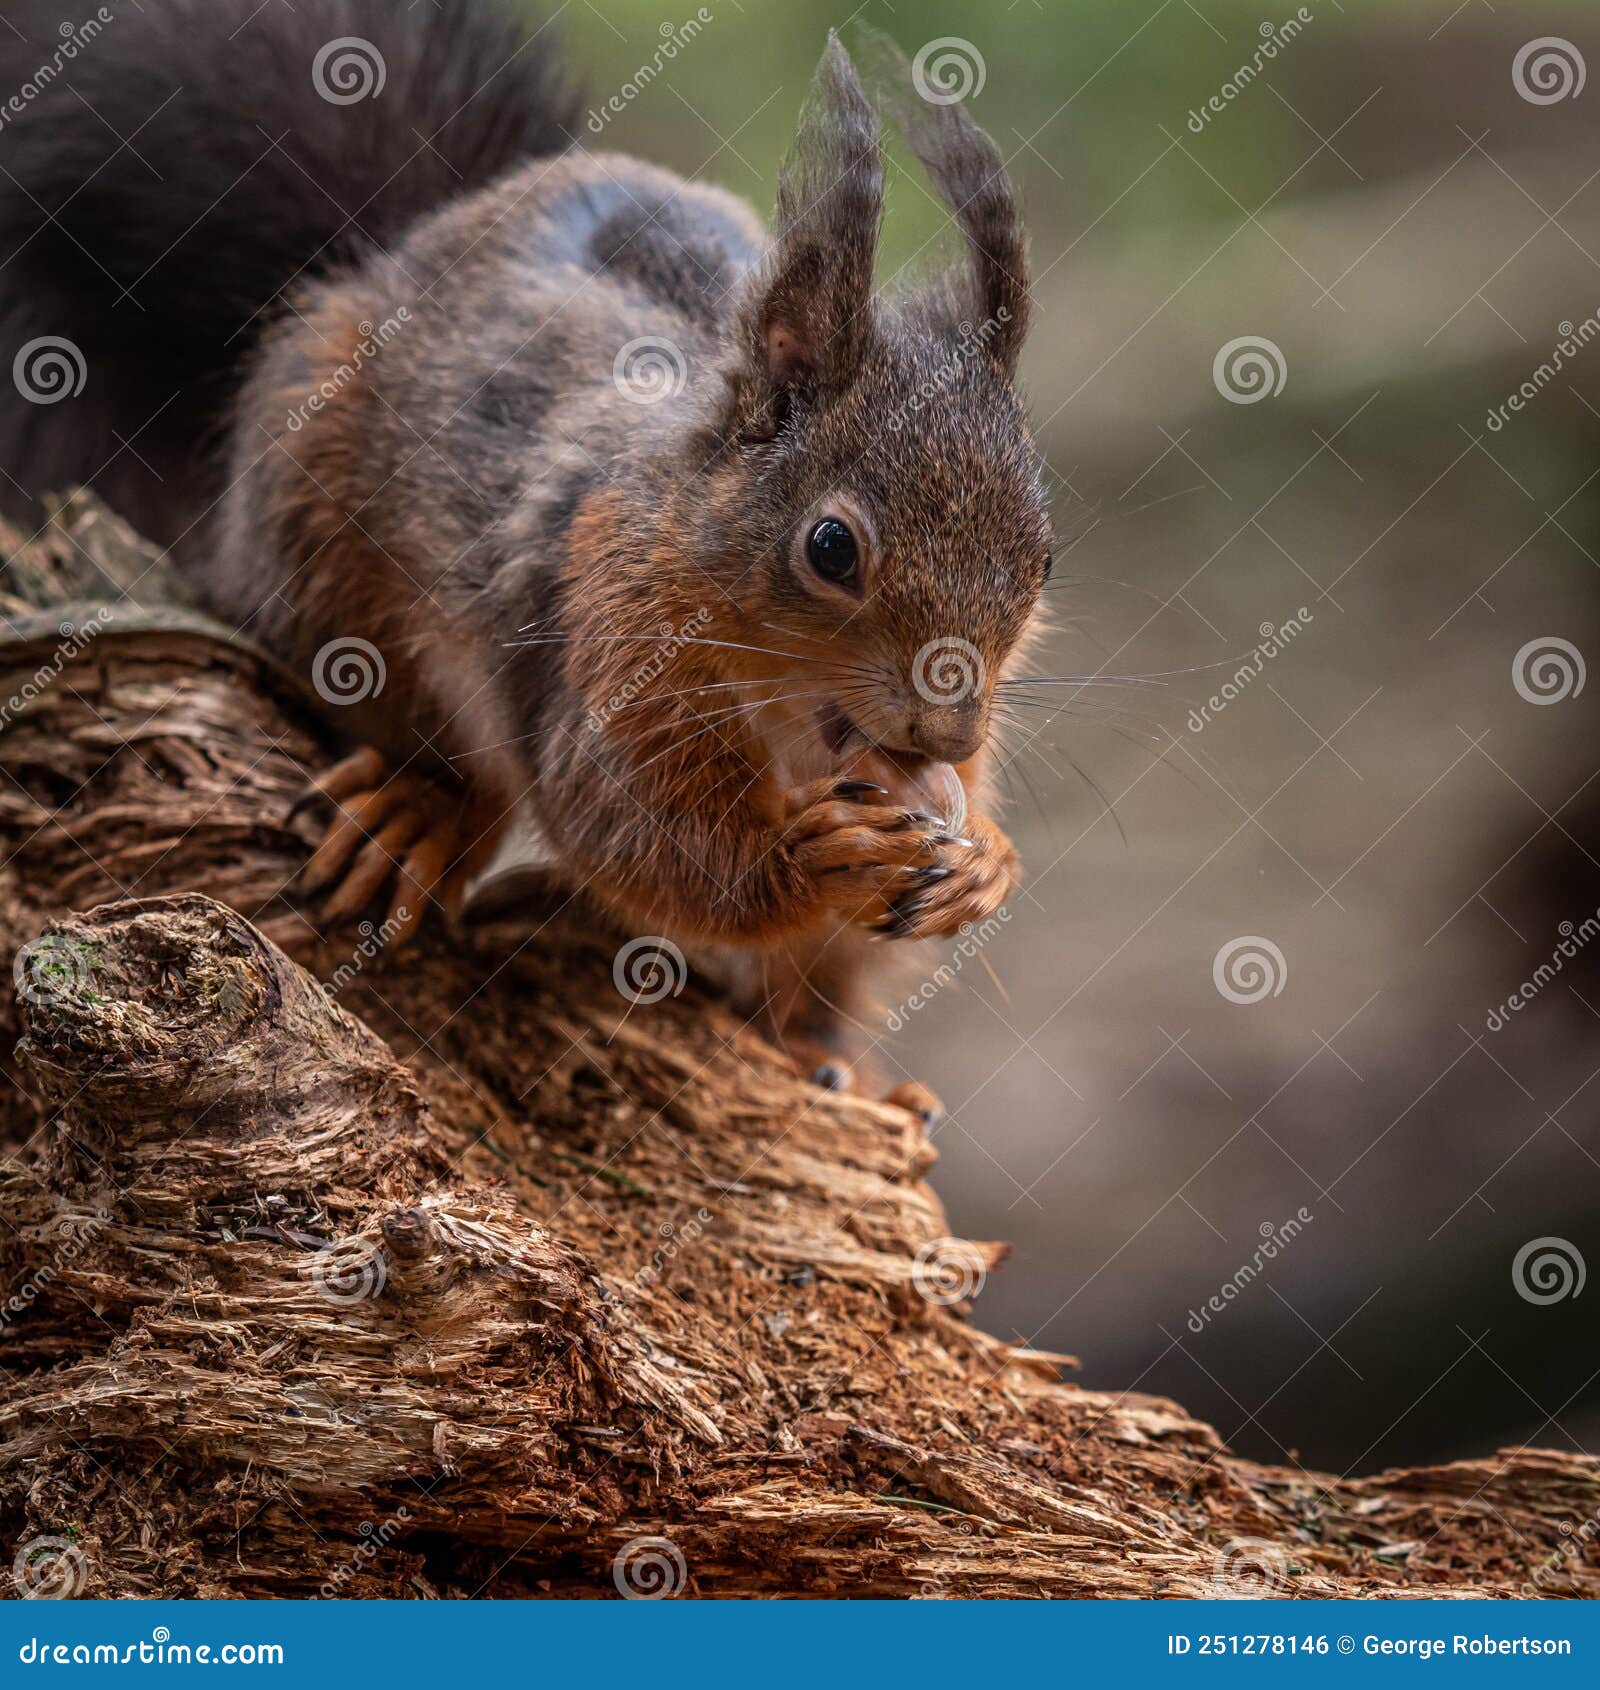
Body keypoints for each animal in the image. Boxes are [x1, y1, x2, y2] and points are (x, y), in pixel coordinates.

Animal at [0, 0, 1053, 1119]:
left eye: (1043, 558)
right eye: (831, 547)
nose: (948, 728)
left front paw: (987, 863)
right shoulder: (608, 644)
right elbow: (627, 828)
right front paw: (815, 862)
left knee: (817, 995)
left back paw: (839, 1064)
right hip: (321, 565)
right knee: (433, 748)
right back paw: (418, 810)